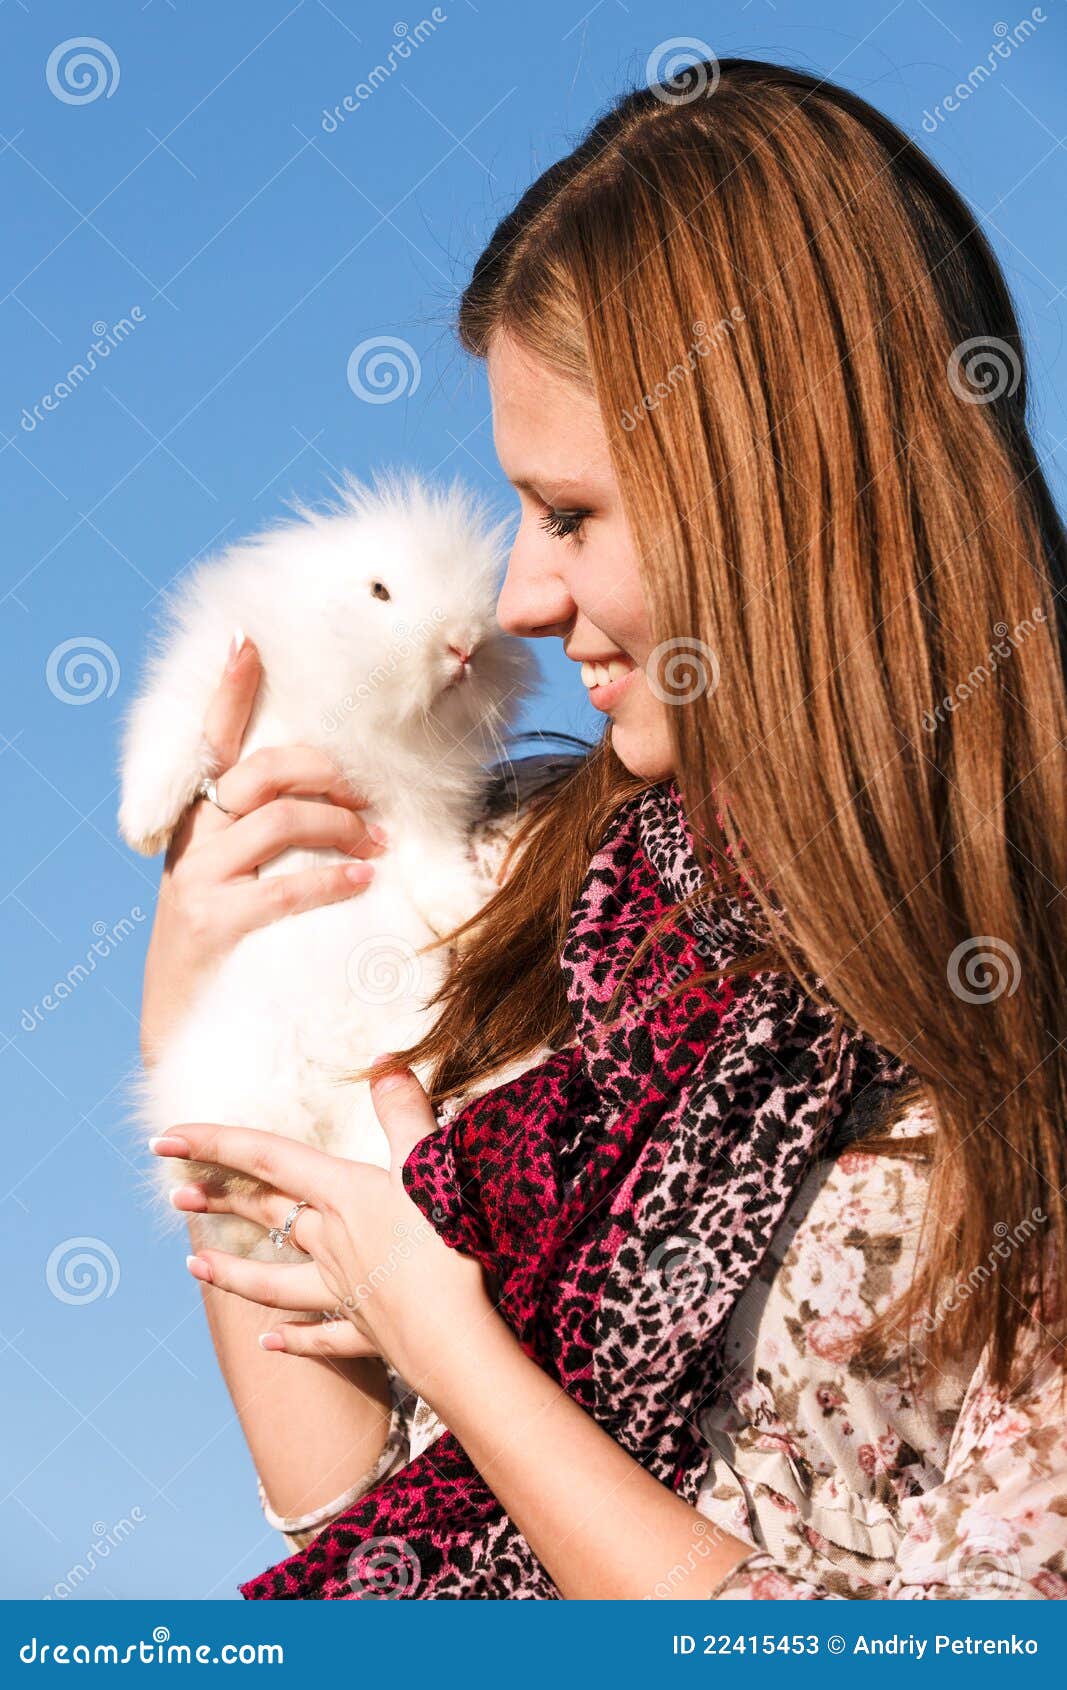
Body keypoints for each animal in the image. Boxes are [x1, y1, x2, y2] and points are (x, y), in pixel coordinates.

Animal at [118, 473, 538, 1258]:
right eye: (379, 590)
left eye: (487, 599)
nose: (463, 646)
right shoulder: (210, 681)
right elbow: (172, 740)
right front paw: (145, 824)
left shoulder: (424, 806)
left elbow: (433, 862)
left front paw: (468, 912)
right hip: (230, 1074)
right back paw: (209, 1166)